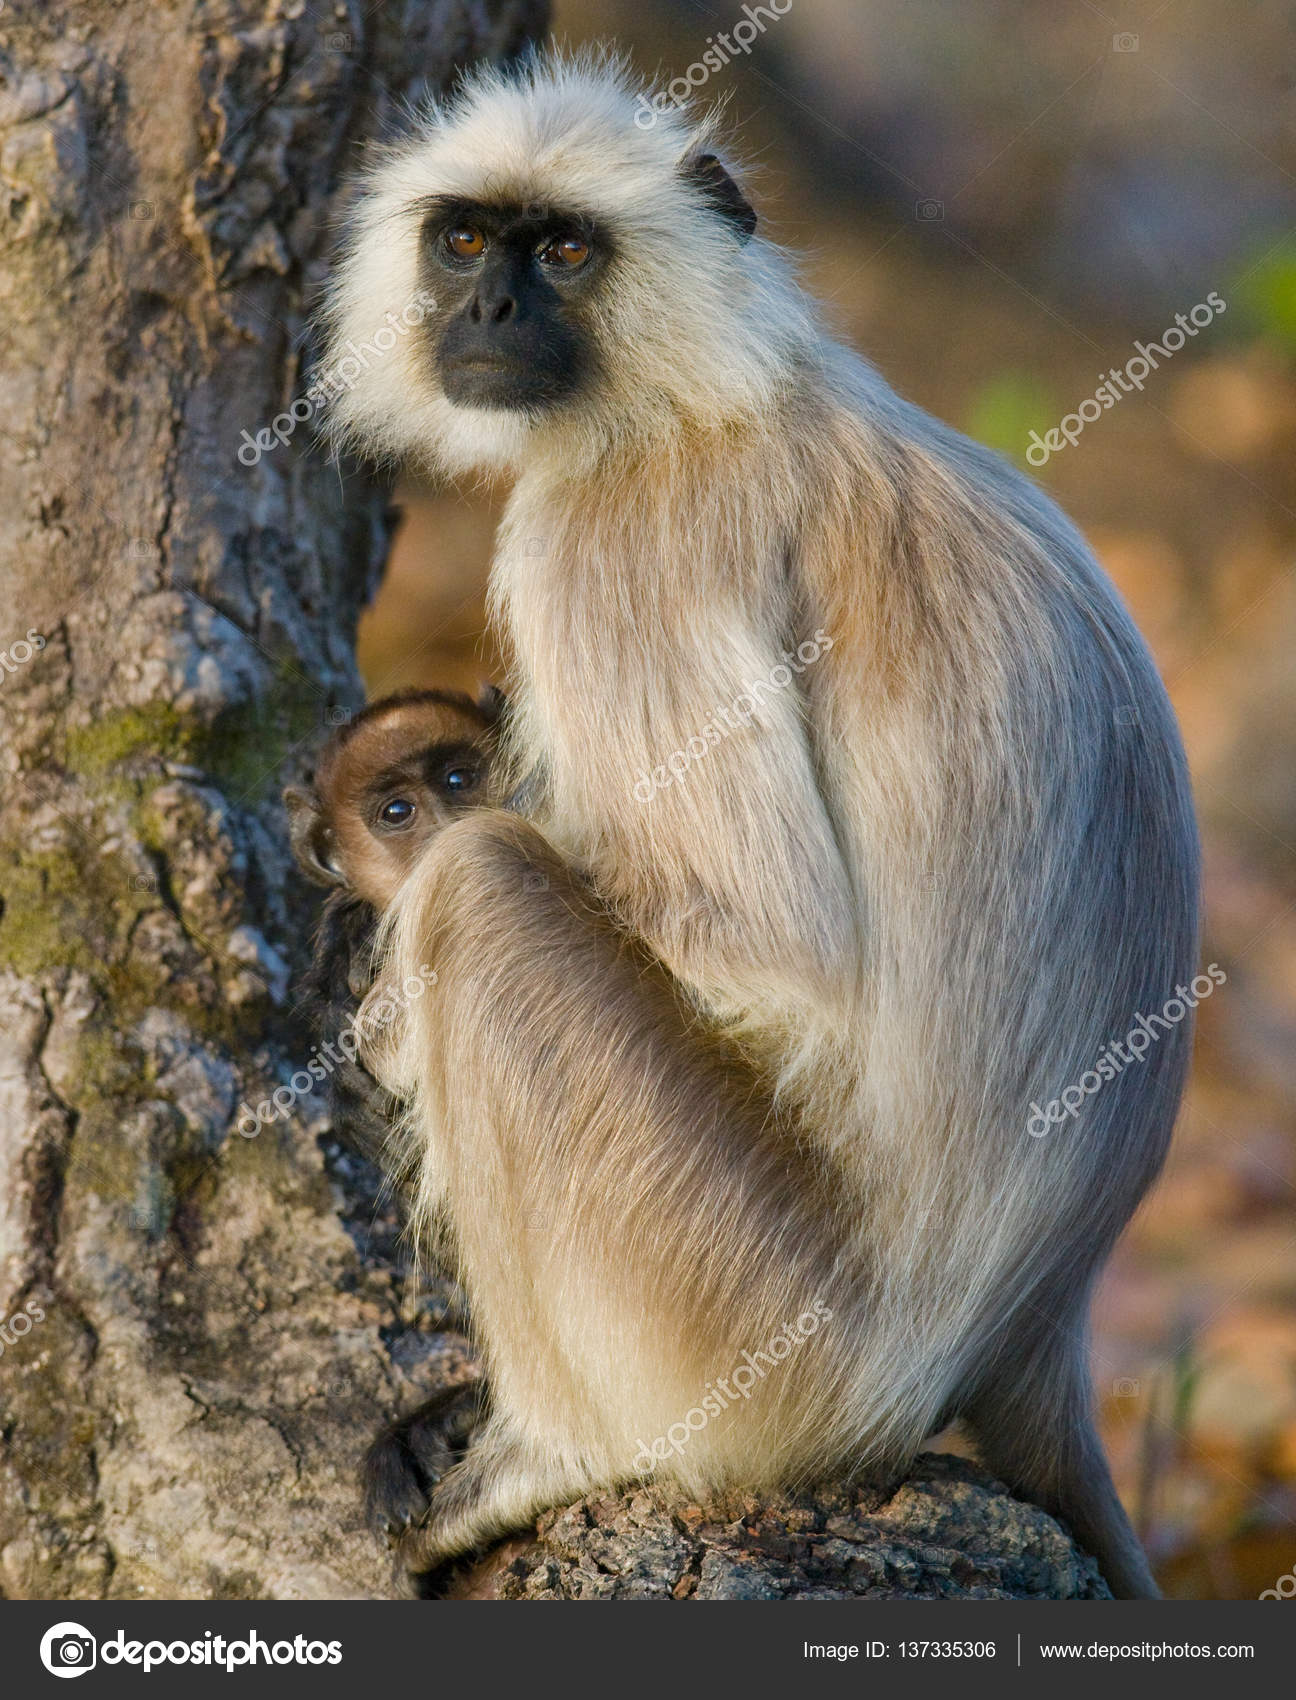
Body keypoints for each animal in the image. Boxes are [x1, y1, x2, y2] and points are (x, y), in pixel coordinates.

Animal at [322, 52, 1199, 1599]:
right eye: (468, 241)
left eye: (564, 252)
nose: (489, 314)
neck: (708, 393)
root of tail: (1041, 1330)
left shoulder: (610, 541)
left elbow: (773, 948)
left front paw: (379, 1018)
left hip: (753, 1320)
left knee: (484, 894)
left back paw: (550, 1449)